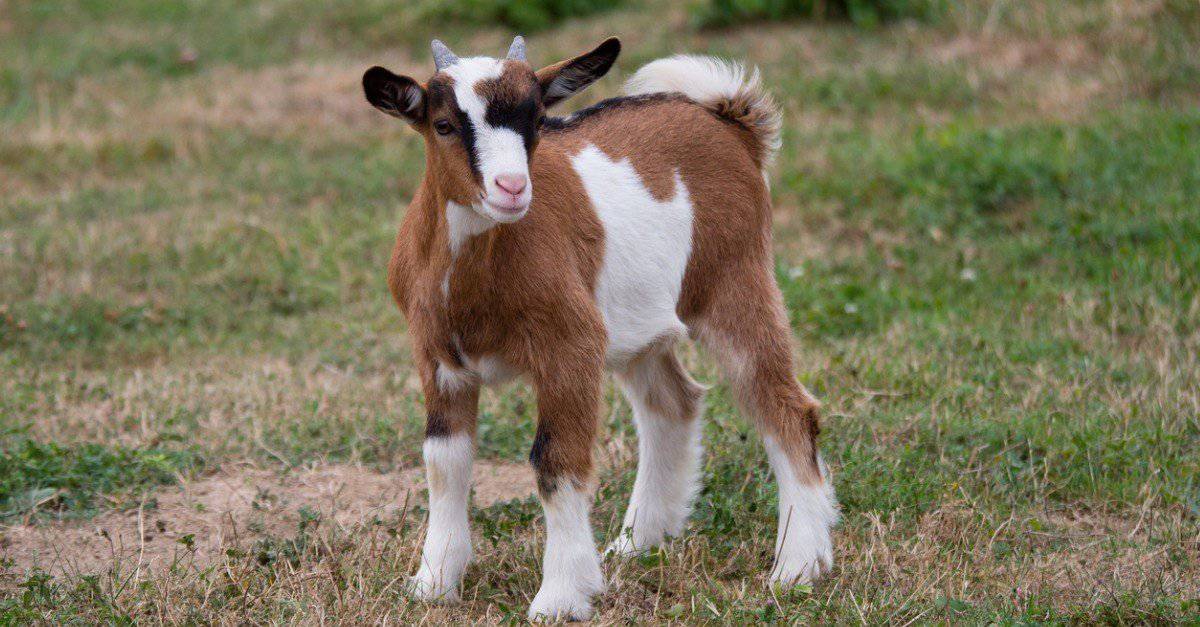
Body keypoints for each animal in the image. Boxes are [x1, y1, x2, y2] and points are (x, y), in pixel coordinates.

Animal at [362, 36, 838, 621]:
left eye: (537, 120)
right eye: (444, 124)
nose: (511, 187)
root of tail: (730, 118)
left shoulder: (569, 345)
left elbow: (554, 460)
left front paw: (561, 597)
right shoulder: (437, 356)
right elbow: (444, 461)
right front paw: (432, 583)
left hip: (735, 280)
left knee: (787, 409)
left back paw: (796, 568)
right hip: (635, 325)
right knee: (673, 404)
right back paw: (637, 545)